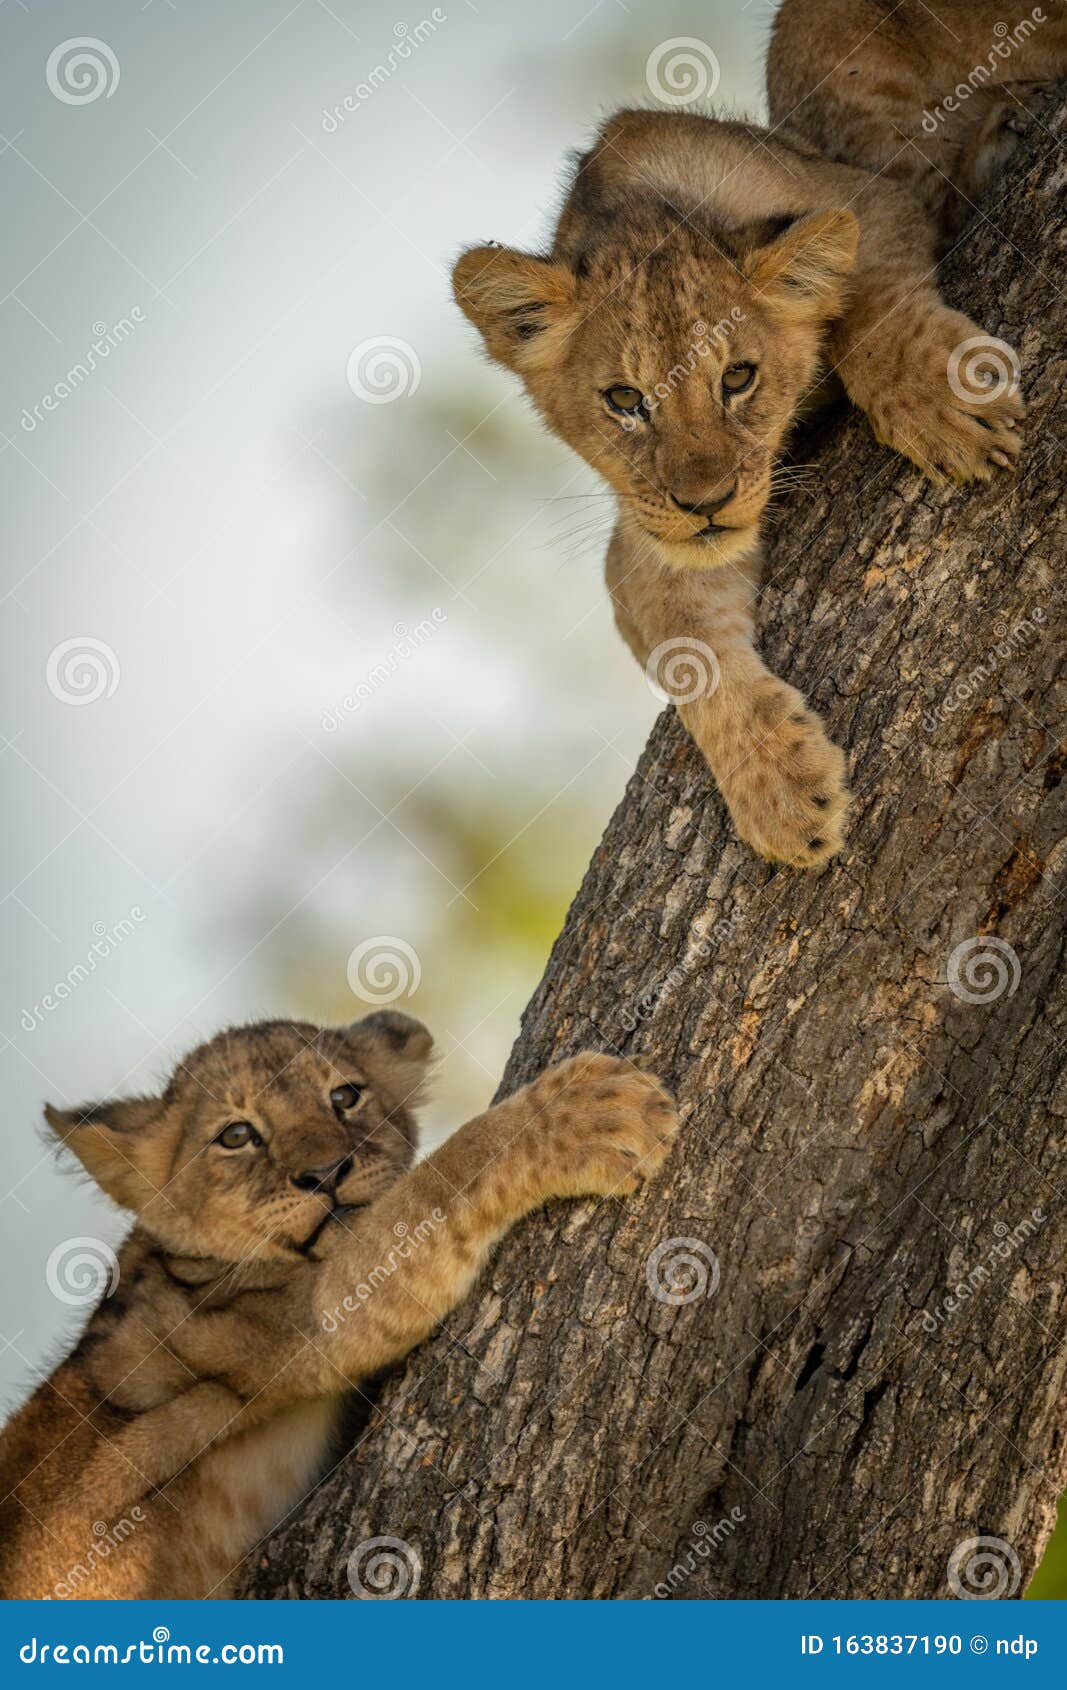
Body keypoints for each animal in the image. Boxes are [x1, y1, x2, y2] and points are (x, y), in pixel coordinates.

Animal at [0, 1014, 675, 1598]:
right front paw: (590, 1113)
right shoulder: (301, 1322)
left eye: (345, 1096)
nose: (326, 1173)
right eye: (236, 1136)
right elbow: (440, 1182)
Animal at [453, 0, 1066, 866]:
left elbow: (868, 294)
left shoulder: (862, 197)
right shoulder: (646, 538)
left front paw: (942, 408)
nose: (705, 503)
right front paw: (780, 791)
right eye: (623, 400)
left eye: (737, 378)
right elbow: (686, 649)